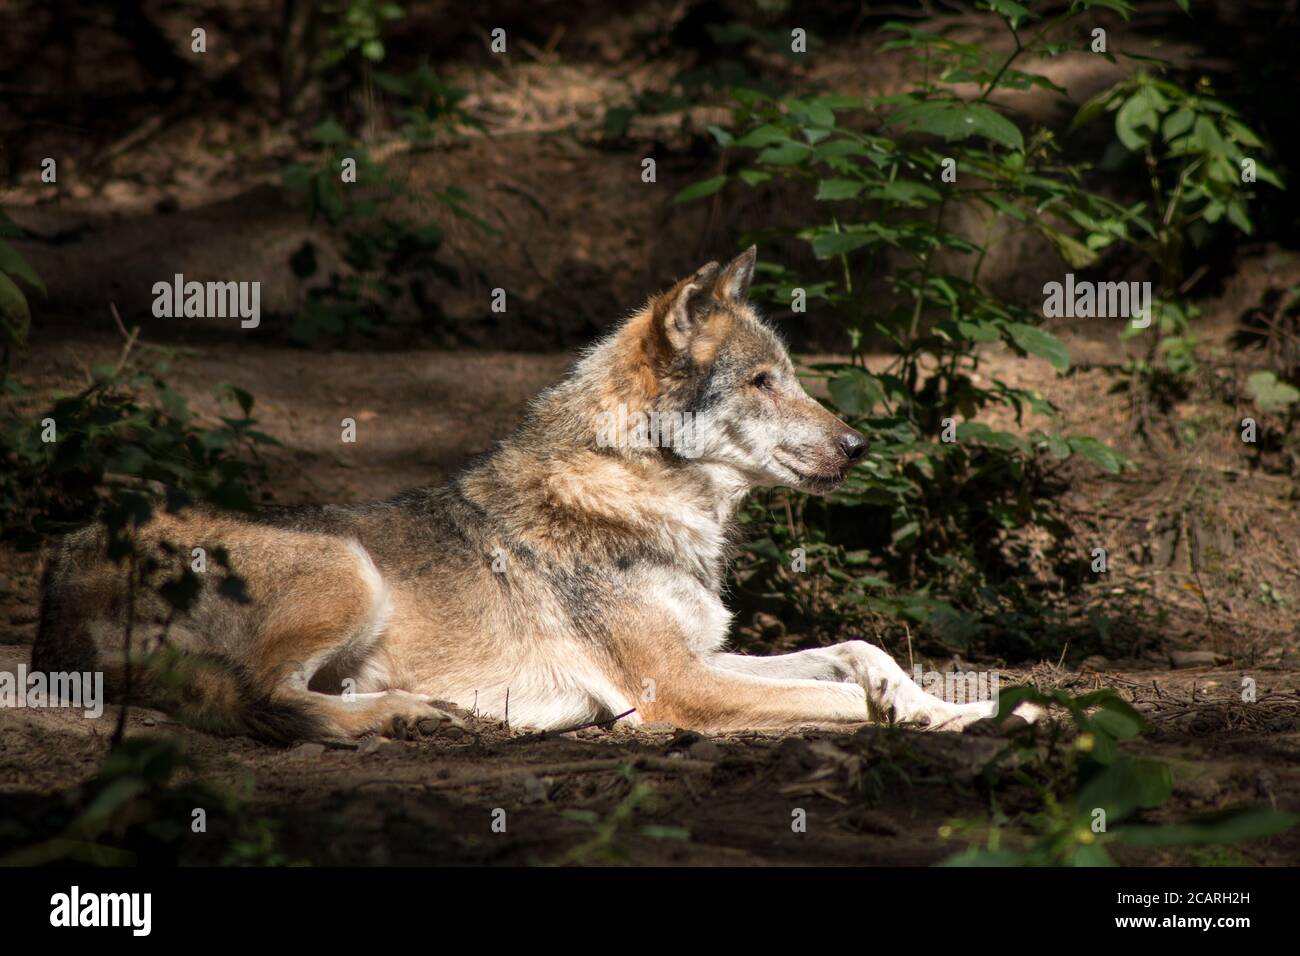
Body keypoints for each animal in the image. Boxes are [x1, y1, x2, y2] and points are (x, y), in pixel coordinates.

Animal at [34, 248, 1033, 741]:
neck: (646, 500)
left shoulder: (701, 657)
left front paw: (972, 710)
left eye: (790, 377)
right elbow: (853, 702)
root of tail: (63, 570)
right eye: (761, 382)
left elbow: (864, 655)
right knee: (263, 702)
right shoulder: (675, 689)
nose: (861, 446)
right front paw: (938, 722)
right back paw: (410, 718)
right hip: (349, 568)